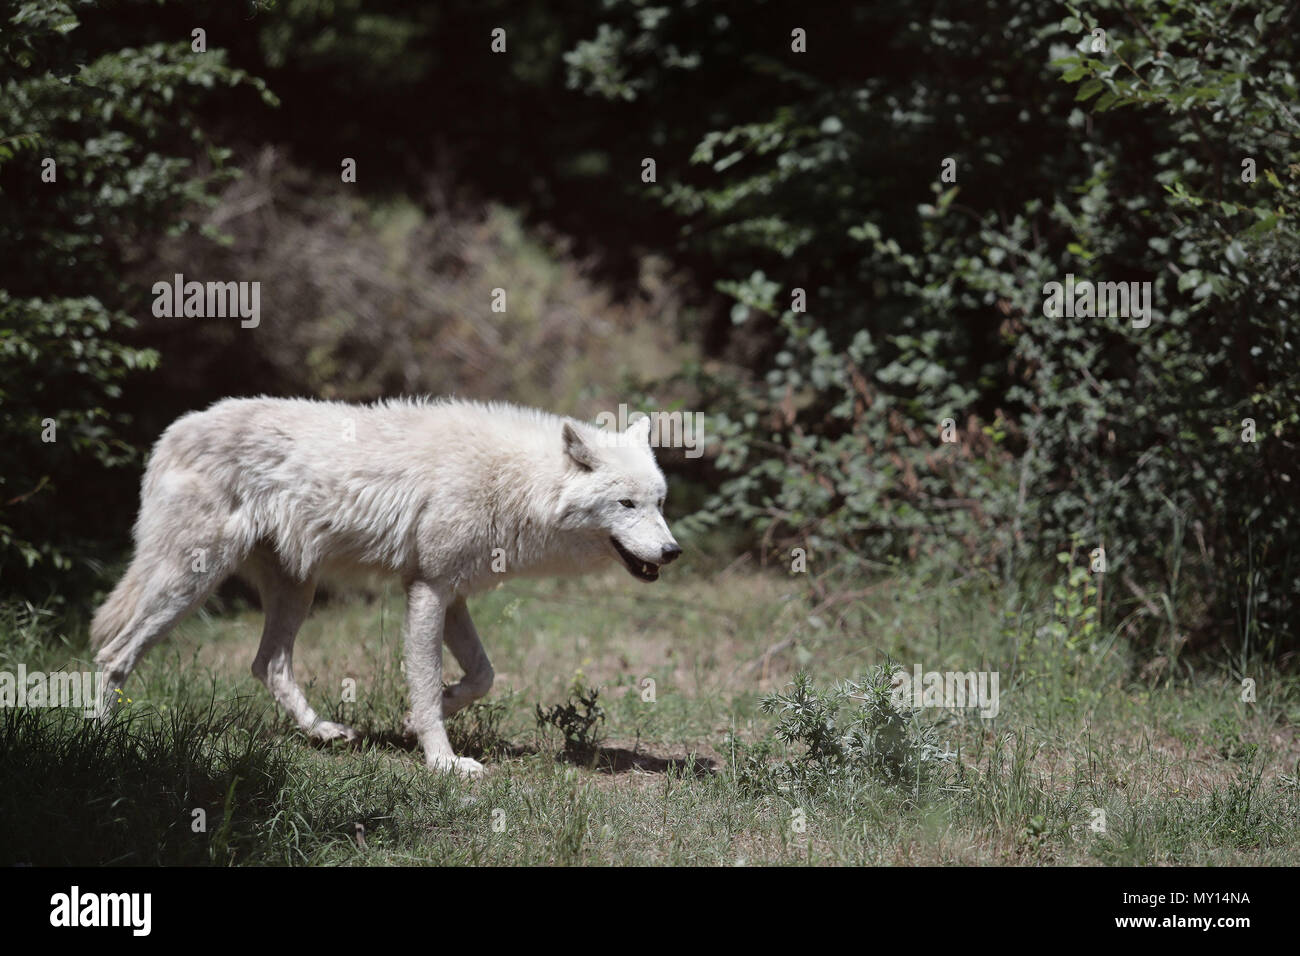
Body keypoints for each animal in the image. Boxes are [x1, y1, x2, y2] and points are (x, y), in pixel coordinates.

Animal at [90, 397, 681, 776]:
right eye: (626, 503)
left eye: (659, 502)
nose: (673, 552)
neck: (516, 481)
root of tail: (175, 429)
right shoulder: (427, 590)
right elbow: (427, 682)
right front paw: (444, 763)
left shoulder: (452, 593)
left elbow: (481, 676)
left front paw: (416, 718)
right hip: (191, 580)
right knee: (113, 653)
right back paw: (101, 745)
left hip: (296, 590)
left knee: (268, 664)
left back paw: (324, 733)